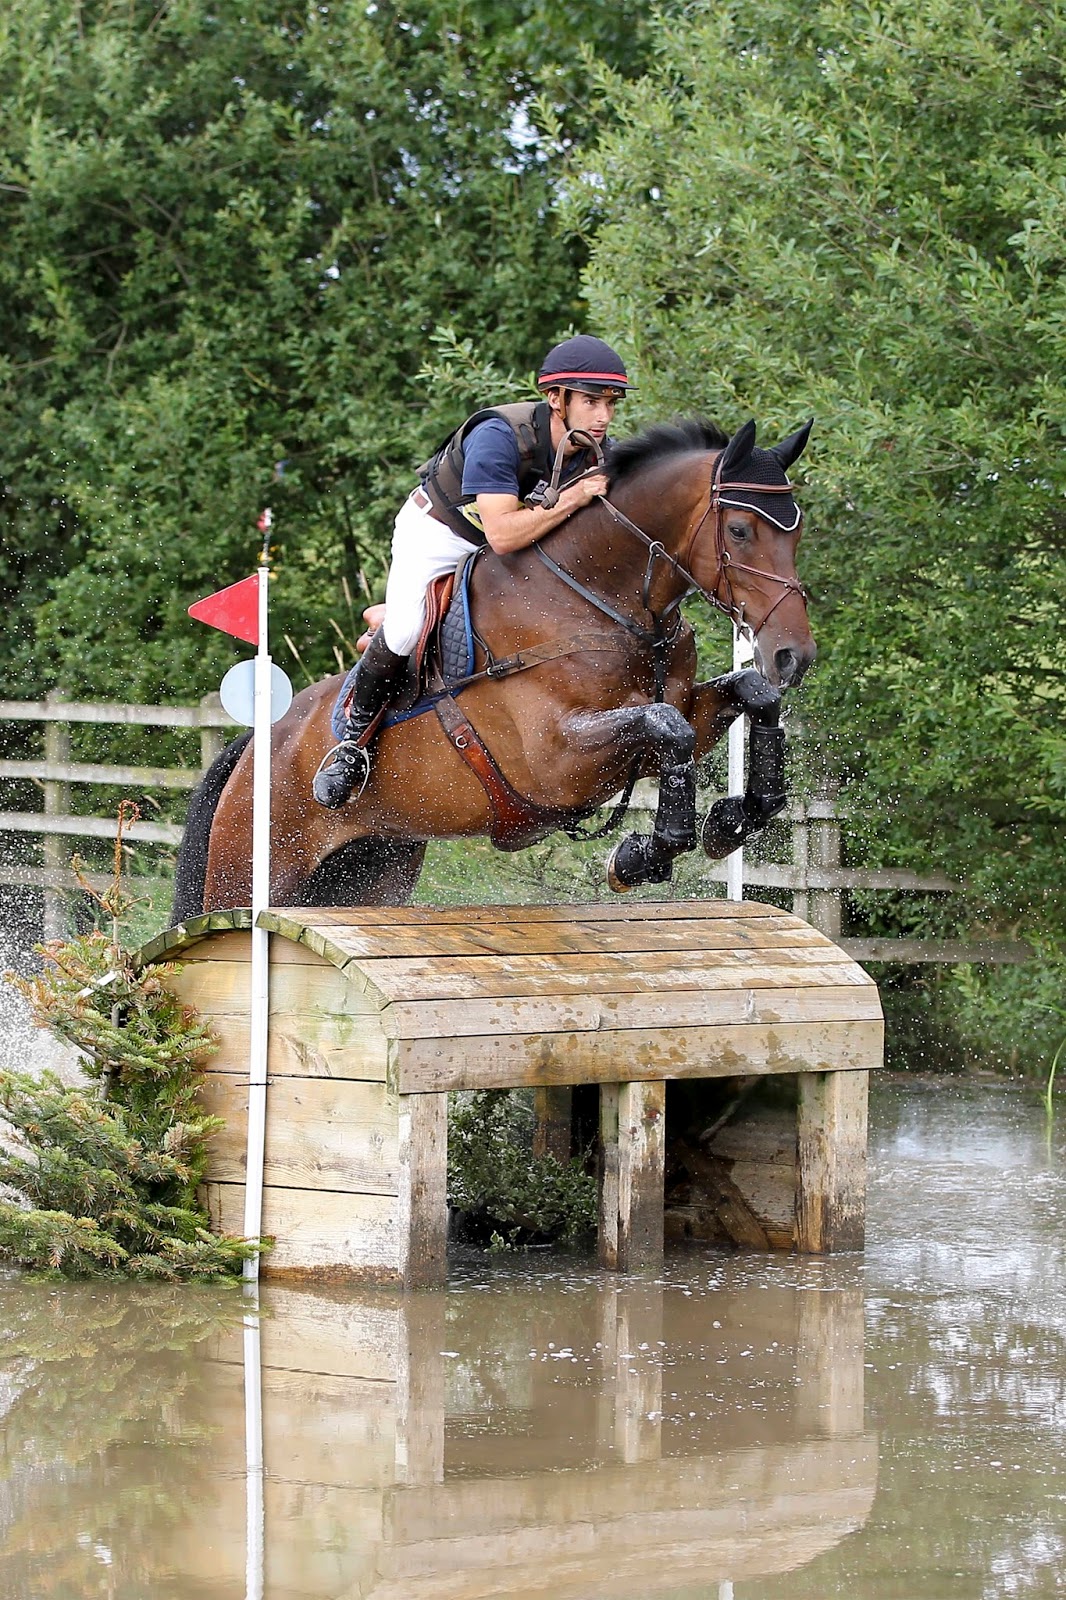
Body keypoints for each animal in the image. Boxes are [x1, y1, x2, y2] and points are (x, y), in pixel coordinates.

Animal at [172, 416, 816, 919]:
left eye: (797, 530)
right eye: (740, 530)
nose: (794, 655)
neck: (606, 598)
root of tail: (256, 744)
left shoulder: (672, 713)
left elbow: (744, 696)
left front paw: (731, 821)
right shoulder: (552, 762)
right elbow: (665, 725)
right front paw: (640, 856)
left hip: (370, 872)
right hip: (248, 872)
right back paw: (342, 766)